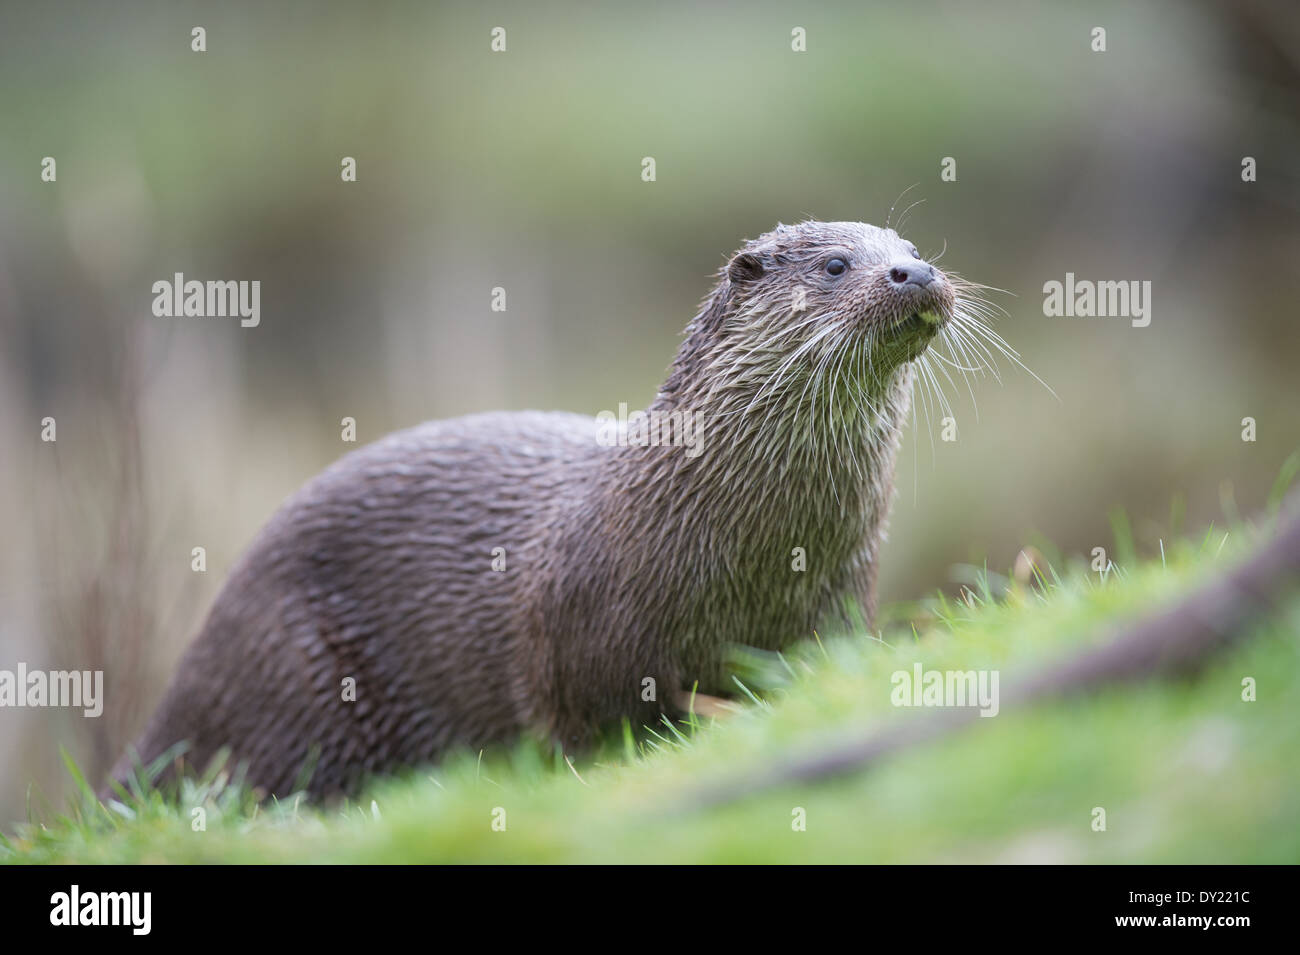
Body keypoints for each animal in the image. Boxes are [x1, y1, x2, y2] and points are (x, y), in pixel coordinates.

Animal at [110, 220, 978, 799]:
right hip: (300, 674)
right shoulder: (578, 629)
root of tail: (196, 663)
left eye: (910, 245)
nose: (915, 271)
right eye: (836, 263)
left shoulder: (841, 596)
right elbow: (595, 722)